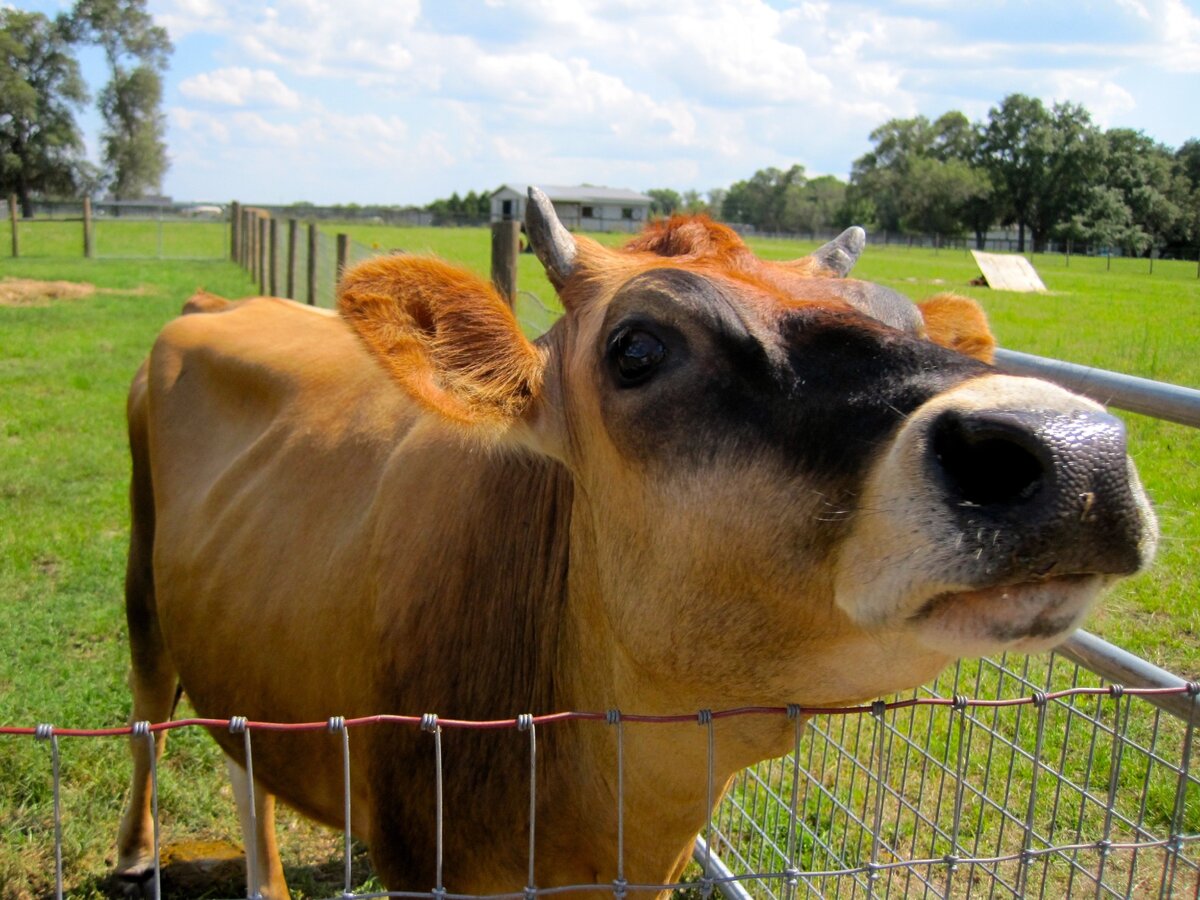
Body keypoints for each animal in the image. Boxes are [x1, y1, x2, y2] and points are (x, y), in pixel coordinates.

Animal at [117, 187, 1156, 897]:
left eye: (900, 317)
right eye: (637, 349)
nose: (1075, 447)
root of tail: (221, 303)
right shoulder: (417, 854)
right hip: (142, 577)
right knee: (151, 707)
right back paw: (136, 853)